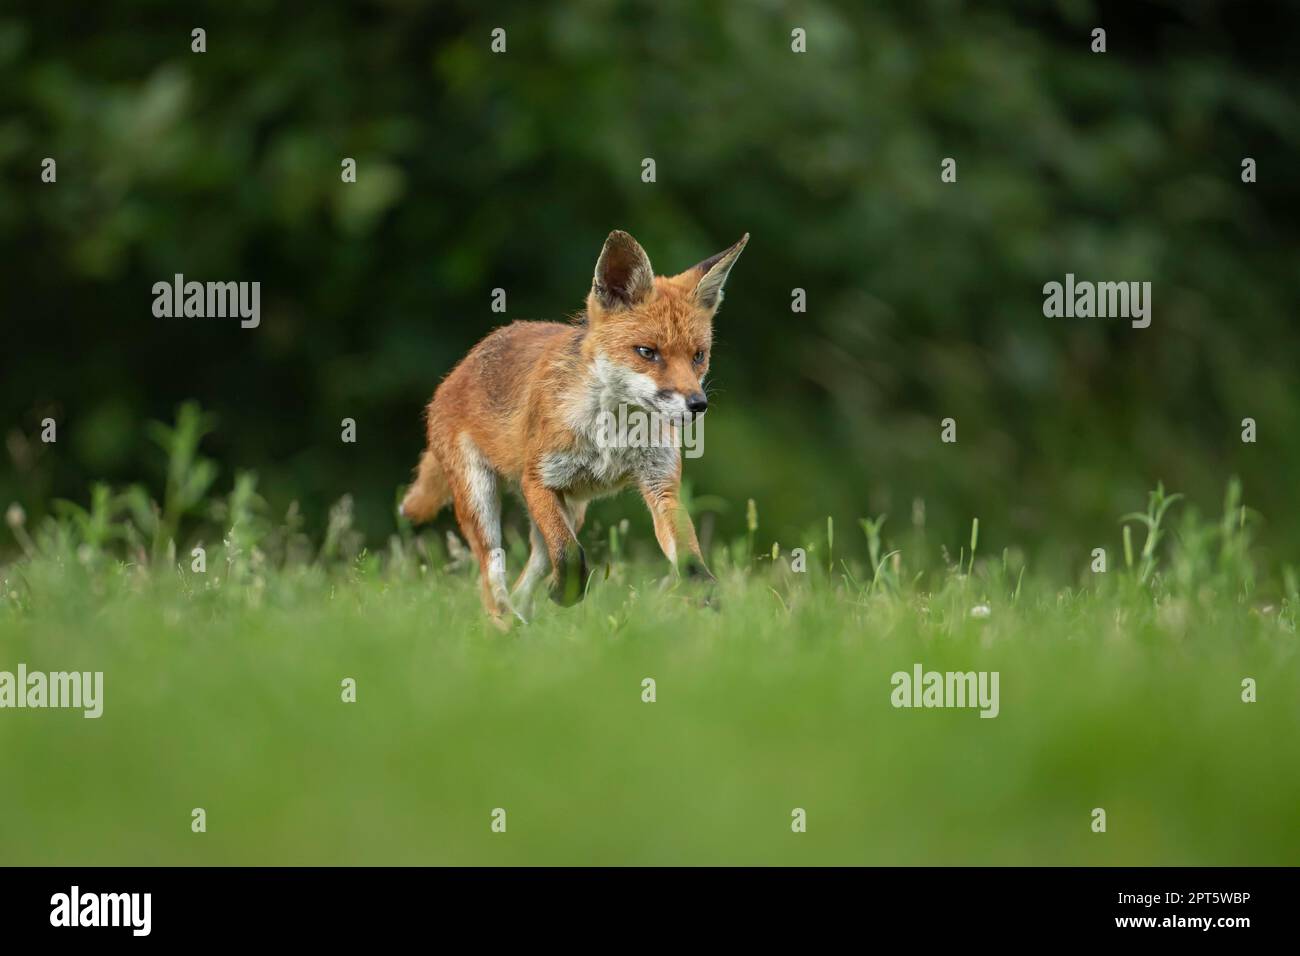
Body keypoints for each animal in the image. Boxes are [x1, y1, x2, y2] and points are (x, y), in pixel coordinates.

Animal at [400, 229, 749, 626]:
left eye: (698, 356)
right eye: (647, 352)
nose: (697, 405)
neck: (613, 437)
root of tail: (457, 370)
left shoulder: (661, 486)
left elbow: (690, 560)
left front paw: (710, 599)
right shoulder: (538, 480)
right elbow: (568, 553)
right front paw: (566, 594)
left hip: (572, 509)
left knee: (531, 568)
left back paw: (522, 620)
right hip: (482, 500)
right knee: (492, 580)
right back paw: (505, 624)